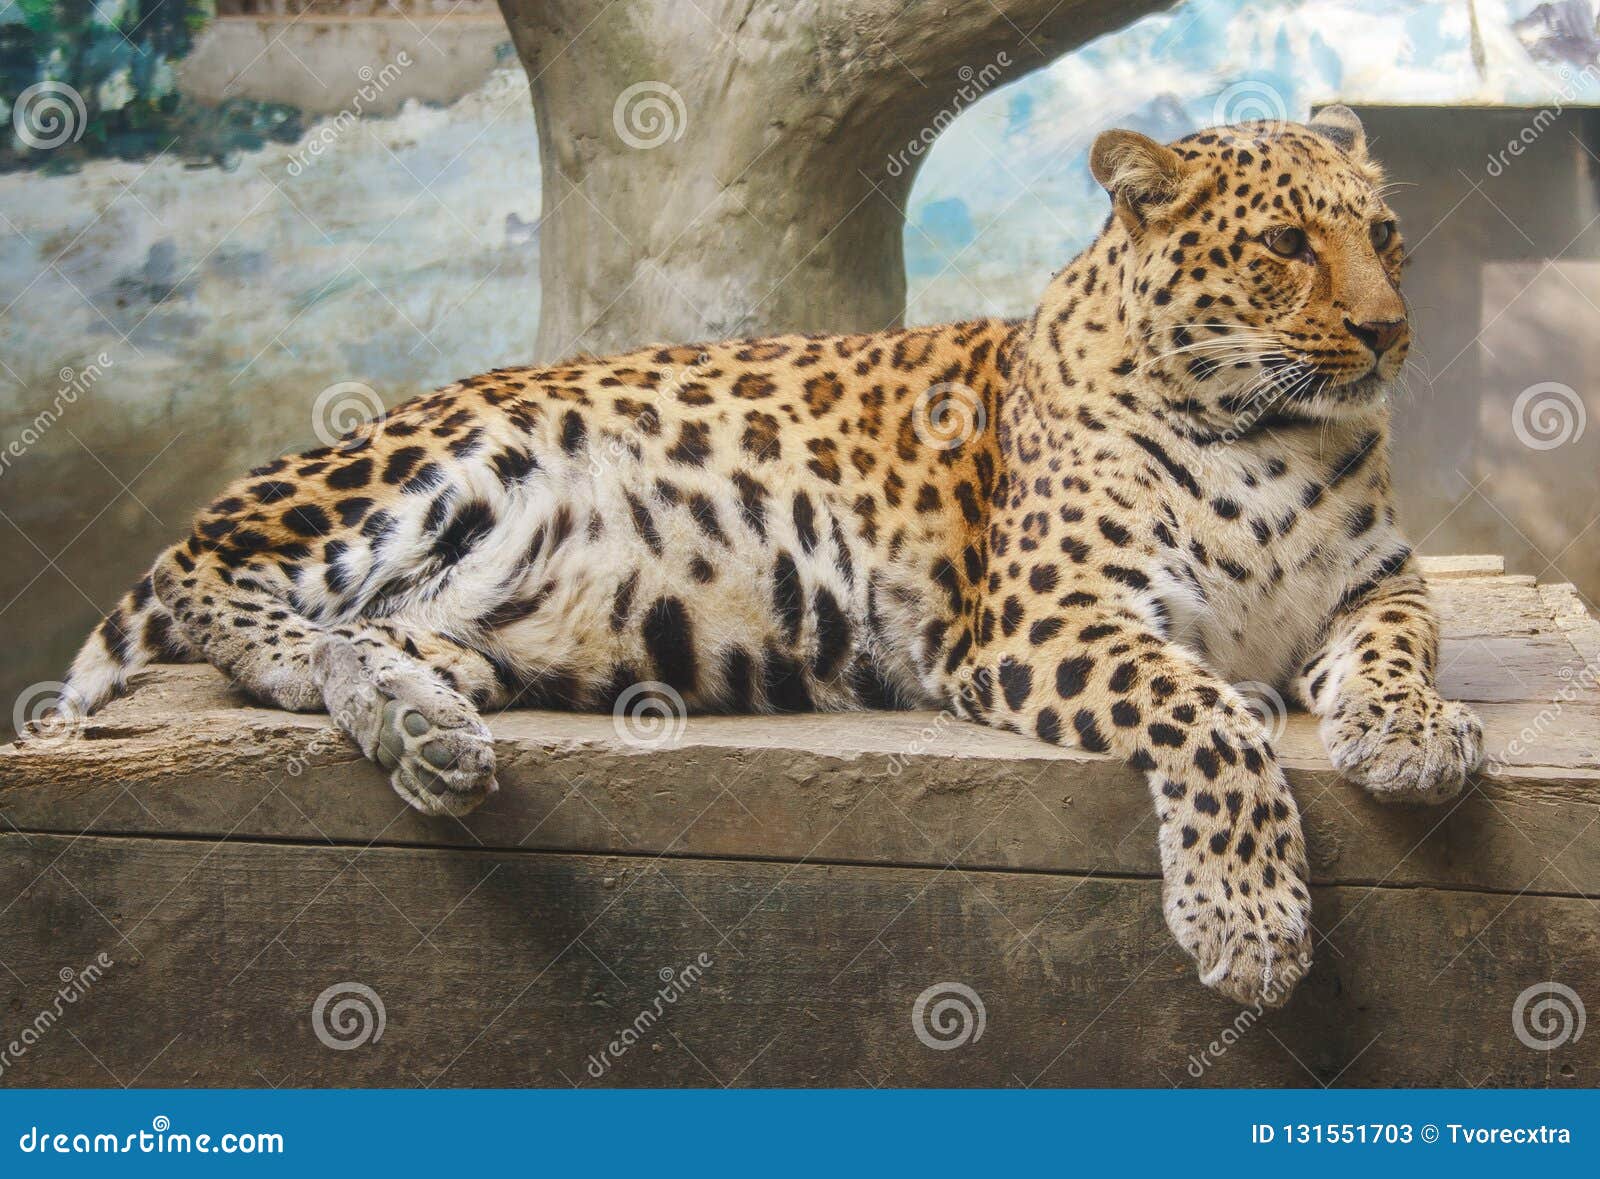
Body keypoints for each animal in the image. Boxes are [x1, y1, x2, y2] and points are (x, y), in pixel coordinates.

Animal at [54, 106, 1483, 1008]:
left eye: (1382, 235)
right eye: (1286, 244)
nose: (1390, 330)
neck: (1274, 437)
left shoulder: (1378, 577)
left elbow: (1406, 638)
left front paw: (1410, 732)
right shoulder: (1048, 624)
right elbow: (1210, 721)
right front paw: (1248, 921)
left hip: (483, 619)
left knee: (380, 634)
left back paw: (424, 731)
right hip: (429, 462)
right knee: (207, 568)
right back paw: (312, 664)